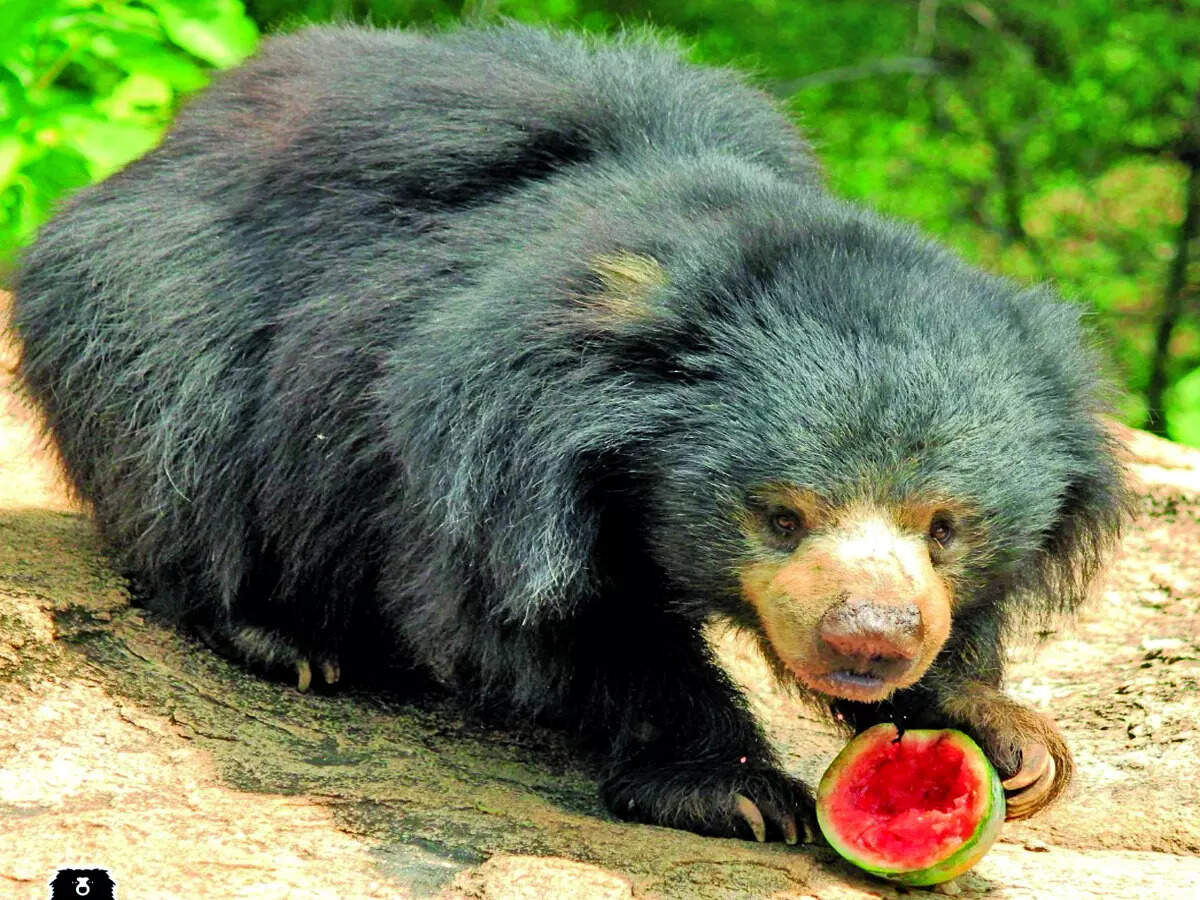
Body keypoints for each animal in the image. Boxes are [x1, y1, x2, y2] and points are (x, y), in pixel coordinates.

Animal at [12, 23, 1127, 842]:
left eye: (945, 526)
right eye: (778, 516)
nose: (871, 638)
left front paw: (1003, 737)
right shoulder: (482, 458)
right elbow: (548, 621)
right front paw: (736, 789)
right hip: (153, 311)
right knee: (177, 447)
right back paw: (286, 638)